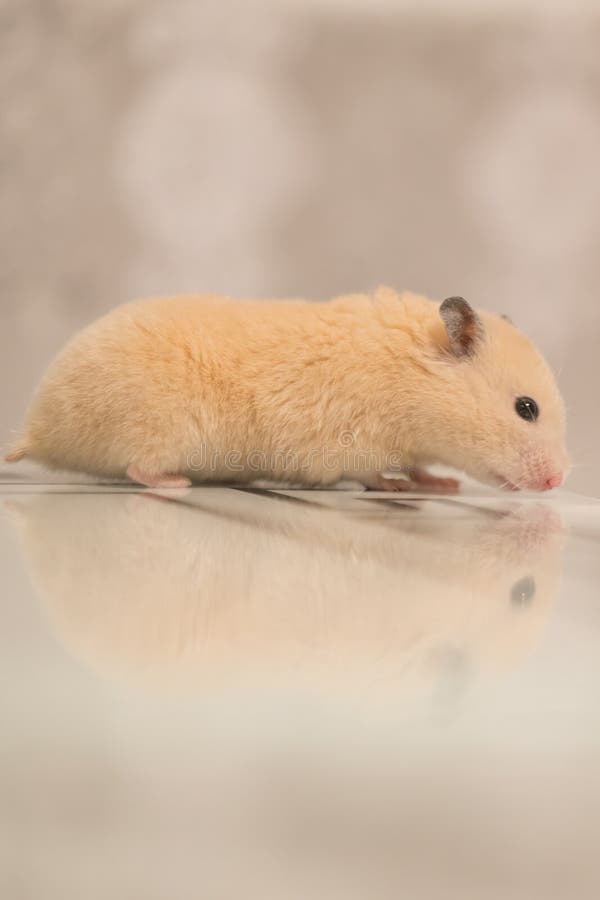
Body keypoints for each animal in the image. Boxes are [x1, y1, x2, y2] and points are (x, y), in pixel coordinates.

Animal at [4, 286, 570, 492]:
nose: (556, 483)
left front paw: (441, 484)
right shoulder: (355, 443)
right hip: (158, 430)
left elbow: (418, 467)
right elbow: (374, 474)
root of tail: (37, 428)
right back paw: (176, 484)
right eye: (526, 408)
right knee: (137, 469)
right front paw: (399, 489)